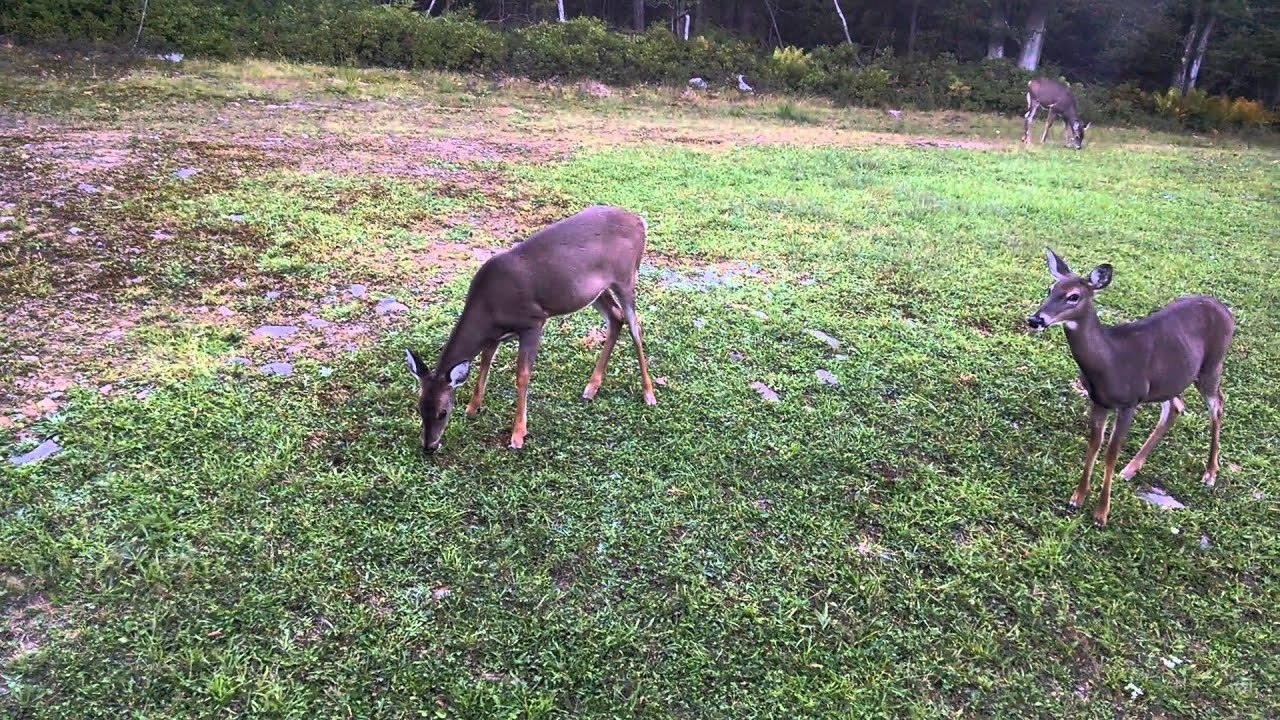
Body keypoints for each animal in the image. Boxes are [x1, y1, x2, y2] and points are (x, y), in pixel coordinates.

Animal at [404, 205, 657, 454]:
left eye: (443, 412)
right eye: (419, 408)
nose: (428, 446)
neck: (488, 308)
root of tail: (640, 221)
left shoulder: (534, 321)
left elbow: (522, 376)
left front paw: (517, 436)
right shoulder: (495, 335)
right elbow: (485, 362)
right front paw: (473, 407)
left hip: (626, 277)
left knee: (635, 327)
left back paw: (649, 394)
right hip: (595, 291)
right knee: (616, 317)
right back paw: (590, 389)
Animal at [1026, 249, 1234, 527]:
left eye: (1073, 296)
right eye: (1050, 289)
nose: (1035, 319)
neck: (1109, 361)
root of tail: (1227, 312)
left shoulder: (1129, 402)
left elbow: (1111, 453)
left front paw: (1101, 514)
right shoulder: (1098, 400)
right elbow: (1094, 445)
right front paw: (1076, 499)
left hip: (1211, 366)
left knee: (1218, 405)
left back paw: (1210, 474)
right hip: (1167, 381)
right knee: (1176, 406)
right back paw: (1130, 470)